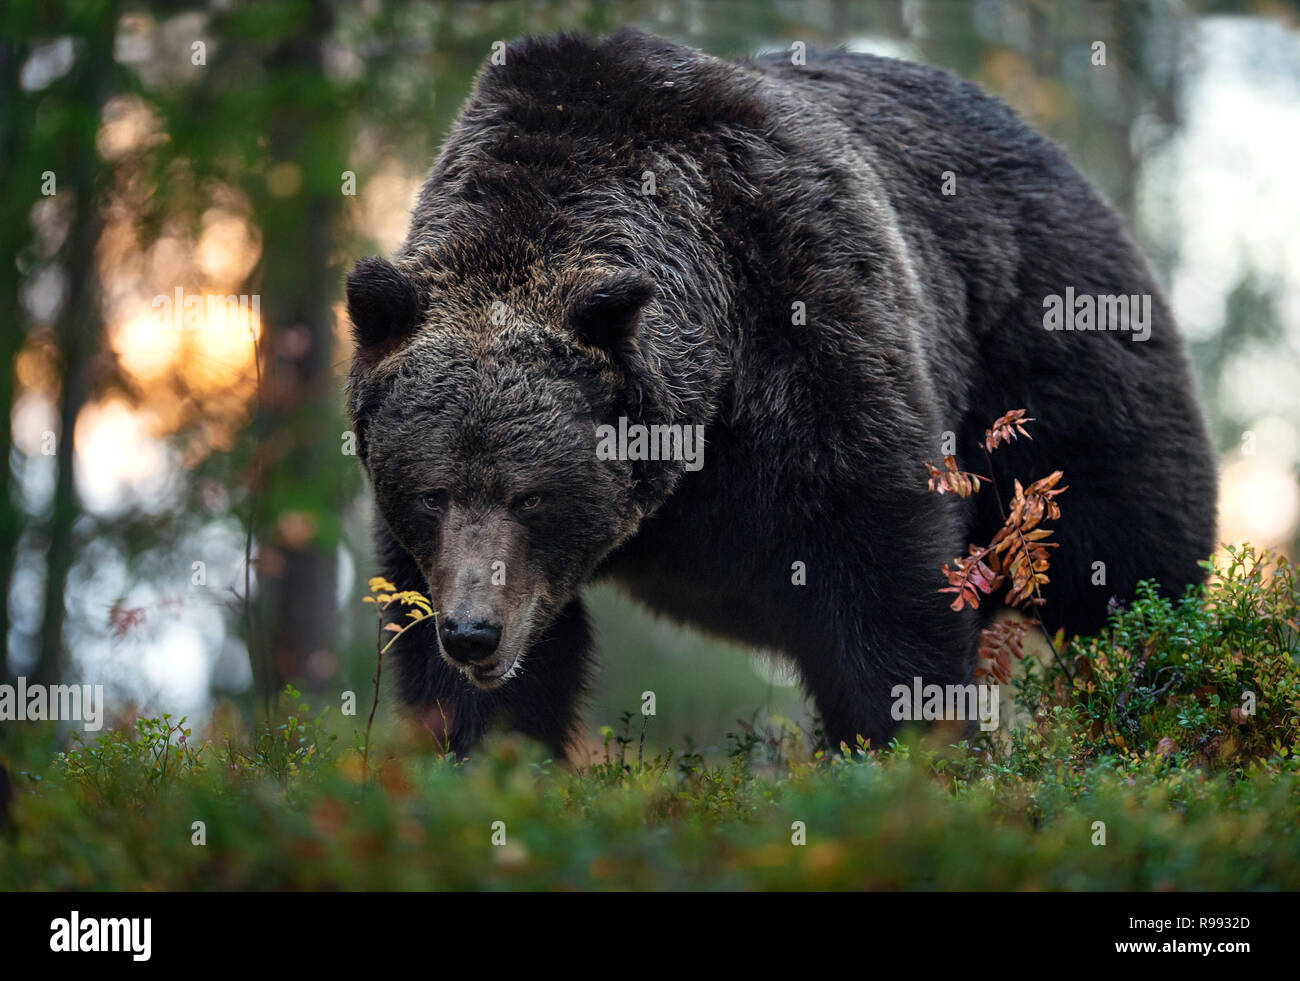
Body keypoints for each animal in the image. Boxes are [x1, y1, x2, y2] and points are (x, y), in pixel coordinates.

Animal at [345, 29, 1217, 759]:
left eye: (531, 494)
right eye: (432, 490)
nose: (474, 632)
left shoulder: (810, 331)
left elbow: (884, 586)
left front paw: (908, 753)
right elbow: (476, 679)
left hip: (1053, 358)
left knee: (1126, 561)